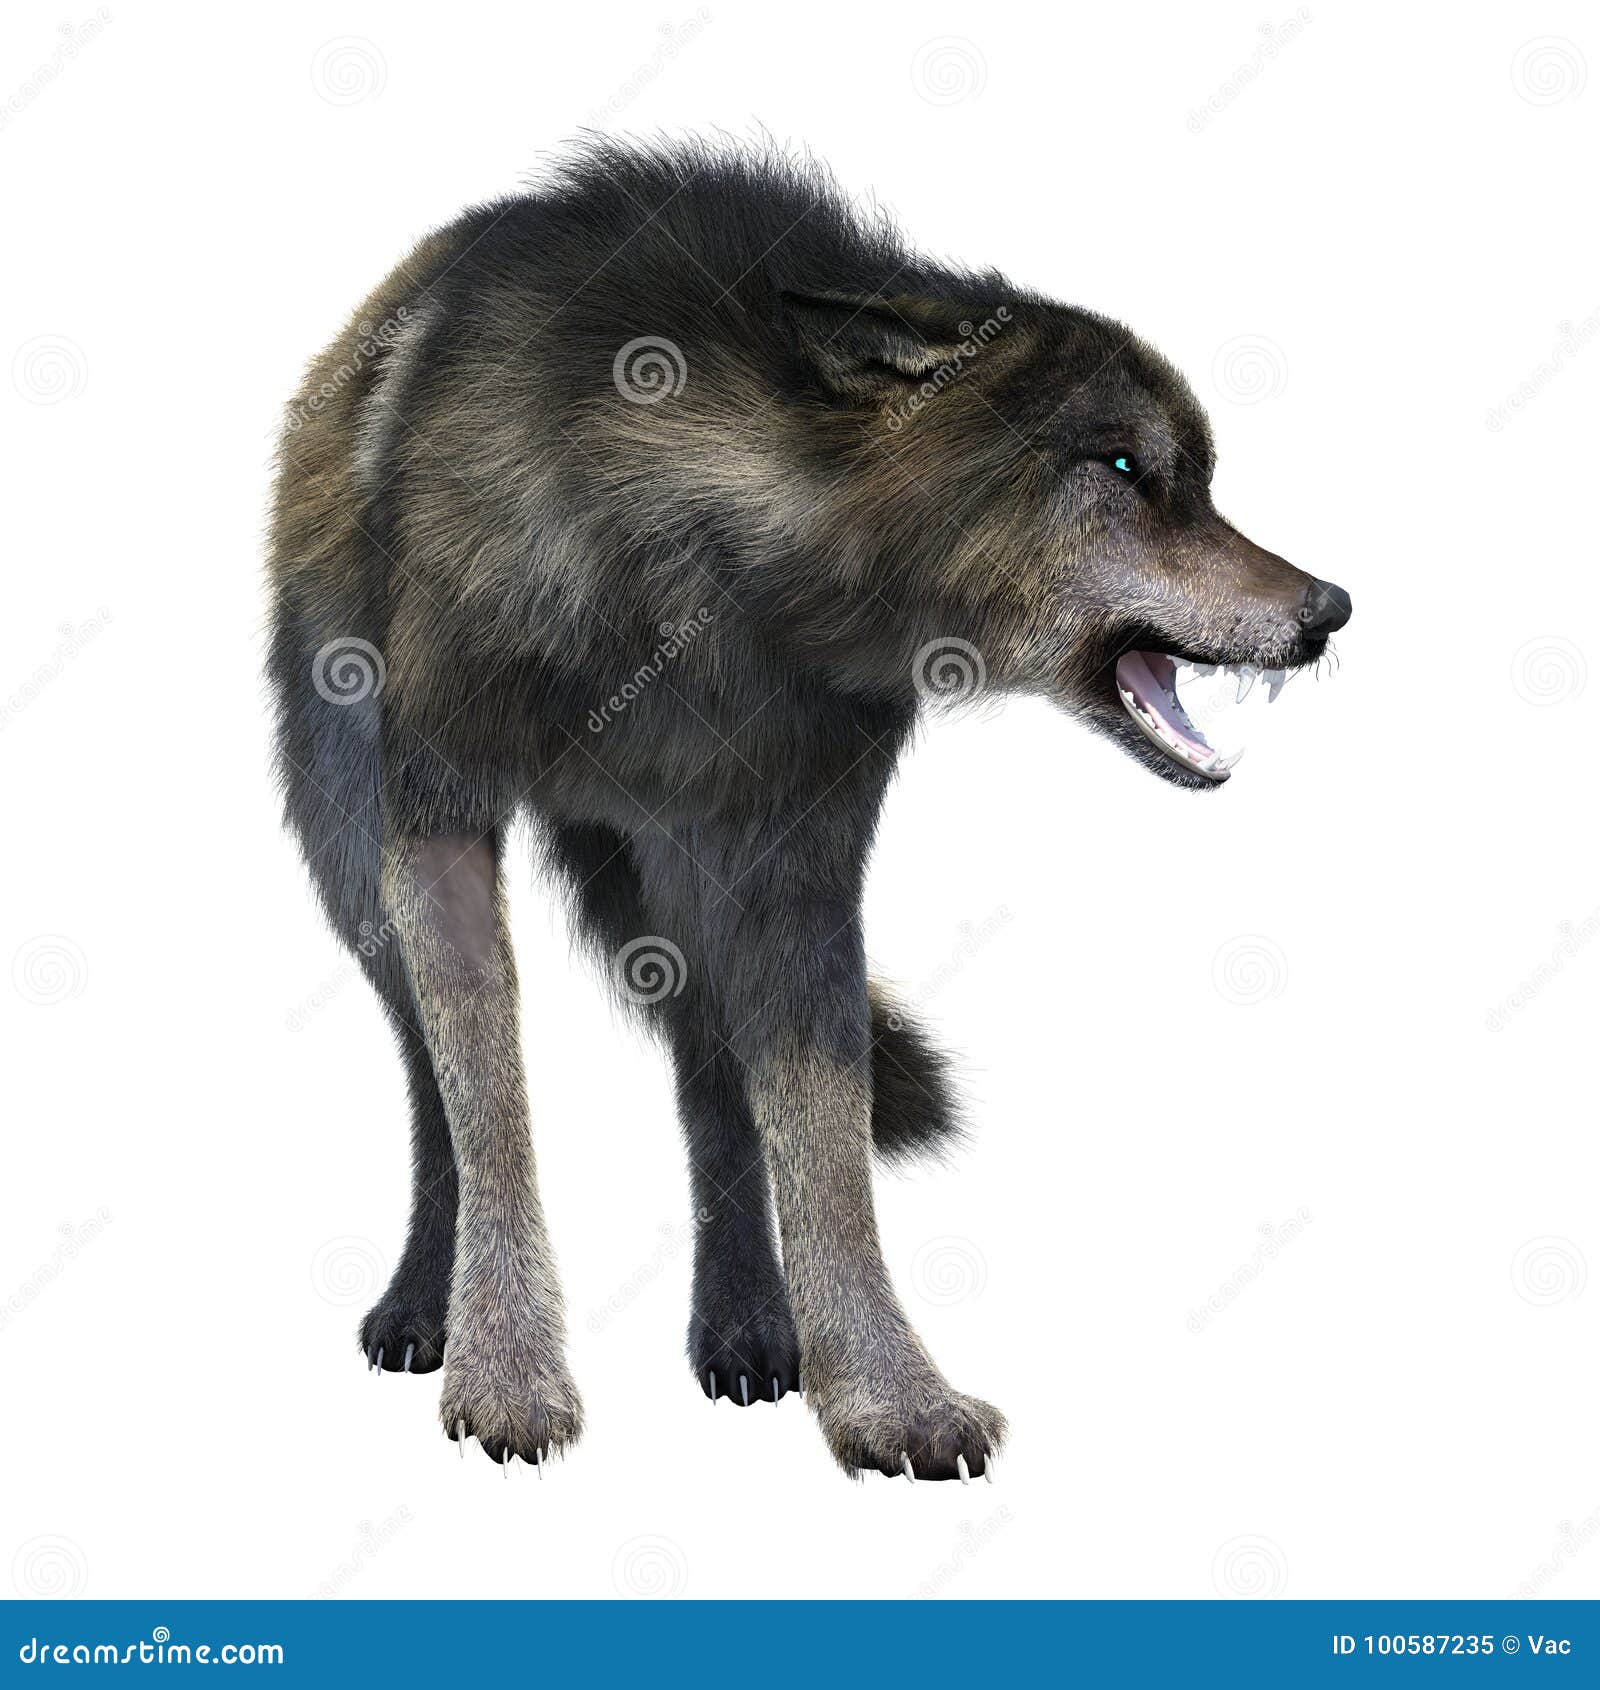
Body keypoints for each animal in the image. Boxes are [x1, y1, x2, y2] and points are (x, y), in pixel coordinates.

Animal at [267, 137, 1350, 1482]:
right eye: (1119, 468)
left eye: (1196, 482)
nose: (1329, 608)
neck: (693, 572)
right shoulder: (437, 813)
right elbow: (490, 1103)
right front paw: (507, 1379)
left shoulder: (801, 868)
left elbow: (826, 1139)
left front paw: (888, 1400)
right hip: (357, 864)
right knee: (429, 1077)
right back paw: (424, 1304)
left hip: (686, 892)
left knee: (708, 1077)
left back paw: (744, 1331)